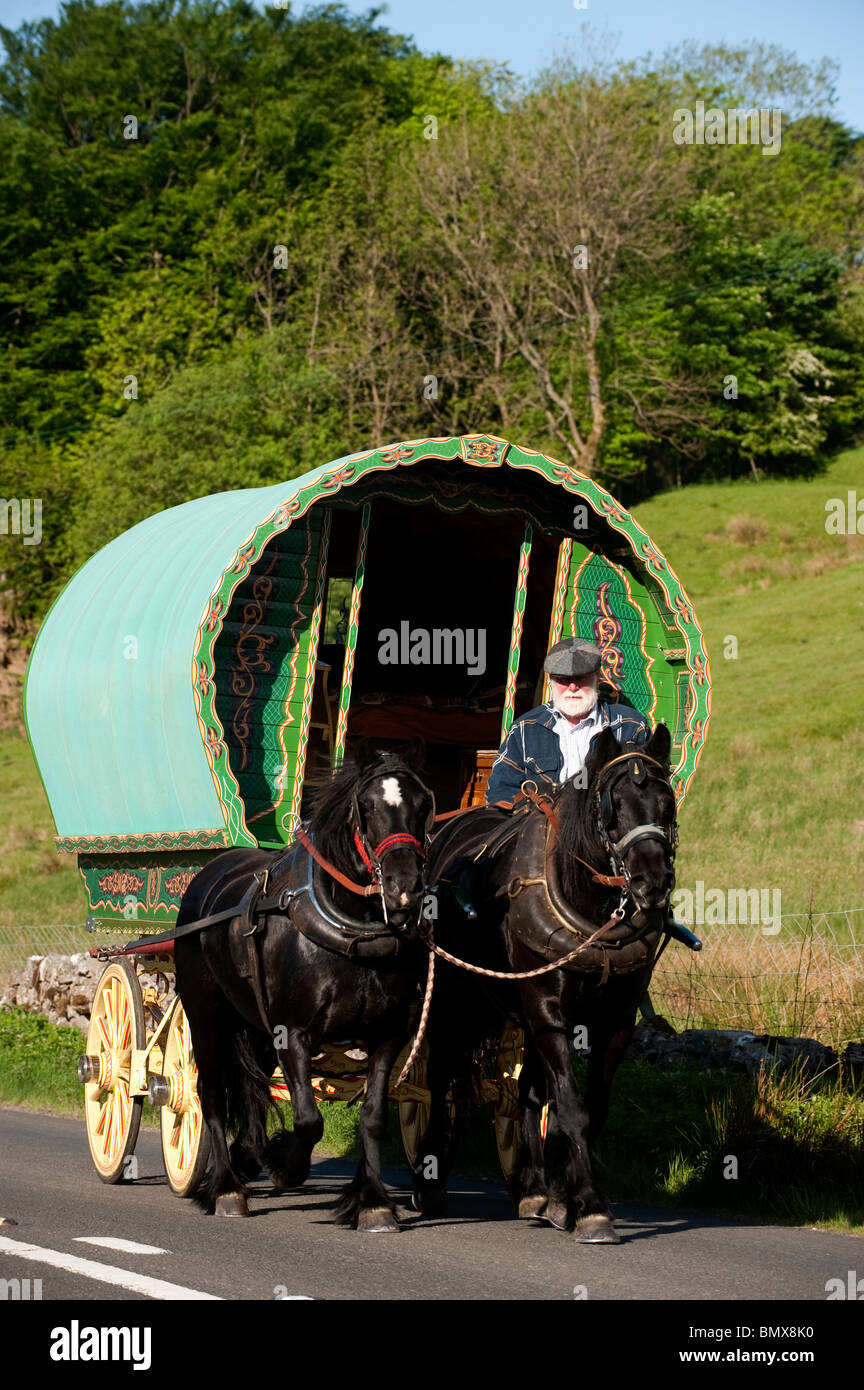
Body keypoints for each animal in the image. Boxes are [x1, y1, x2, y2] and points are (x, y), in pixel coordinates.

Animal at [174, 745, 434, 1231]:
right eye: (368, 807)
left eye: (422, 805)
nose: (405, 886)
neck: (352, 934)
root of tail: (207, 875)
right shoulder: (292, 1035)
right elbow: (309, 1119)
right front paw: (285, 1166)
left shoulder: (386, 1036)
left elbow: (373, 1117)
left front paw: (372, 1202)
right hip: (205, 1017)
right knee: (210, 1094)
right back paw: (226, 1187)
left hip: (252, 1026)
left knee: (250, 1088)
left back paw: (246, 1155)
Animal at [414, 722, 677, 1243]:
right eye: (612, 807)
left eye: (667, 802)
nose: (653, 883)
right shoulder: (548, 1011)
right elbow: (570, 1107)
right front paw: (591, 1208)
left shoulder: (614, 1022)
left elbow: (584, 1107)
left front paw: (564, 1198)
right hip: (454, 1002)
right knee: (440, 1078)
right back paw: (429, 1179)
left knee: (529, 1093)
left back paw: (536, 1190)